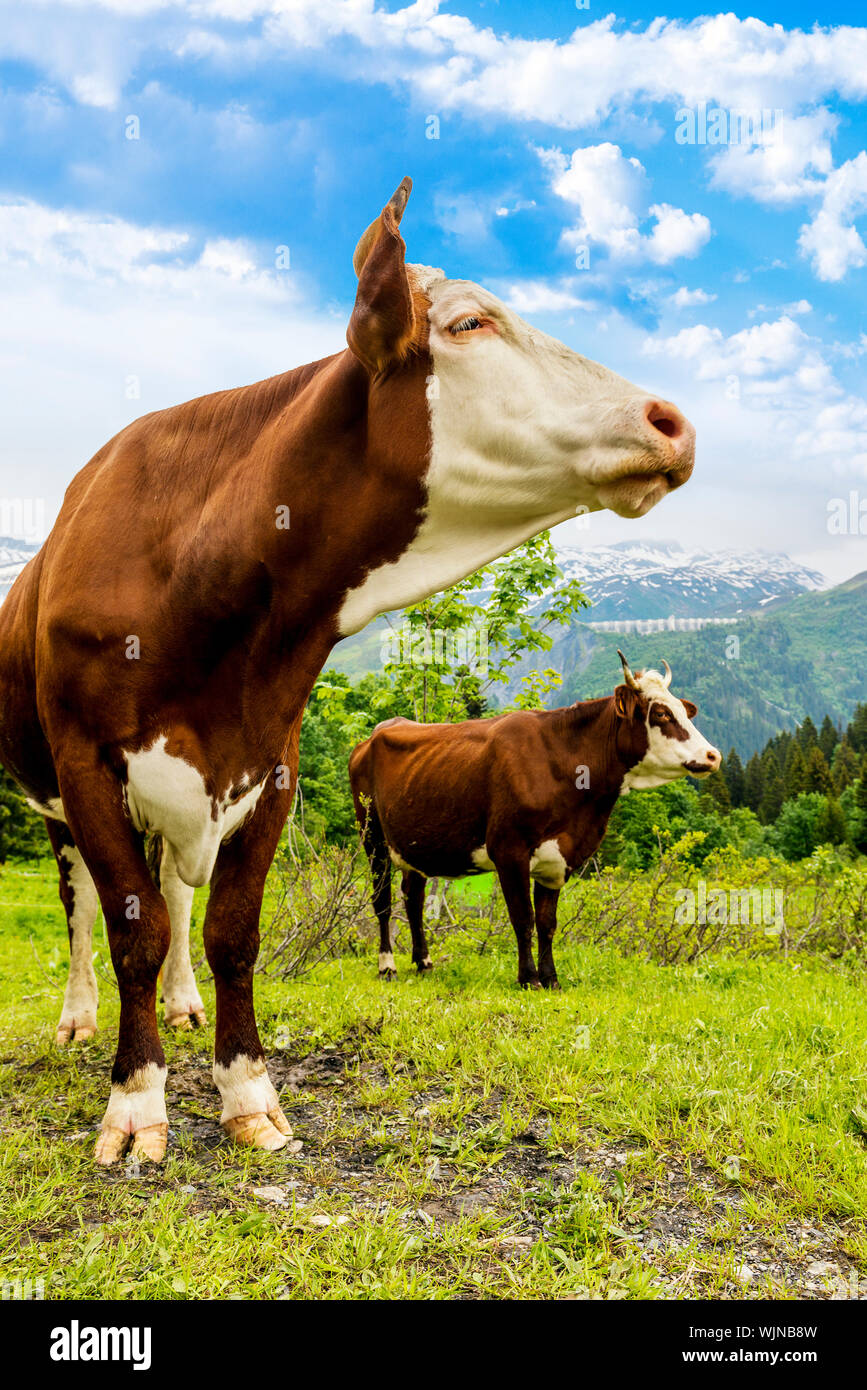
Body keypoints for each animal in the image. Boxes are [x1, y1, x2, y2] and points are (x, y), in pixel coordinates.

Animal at [348, 650, 722, 989]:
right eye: (661, 713)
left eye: (683, 710)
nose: (712, 755)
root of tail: (378, 732)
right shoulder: (508, 850)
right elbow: (523, 918)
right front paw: (528, 978)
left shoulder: (560, 857)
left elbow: (547, 922)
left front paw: (551, 978)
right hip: (373, 837)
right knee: (382, 901)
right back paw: (387, 966)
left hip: (413, 844)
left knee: (412, 897)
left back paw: (424, 962)